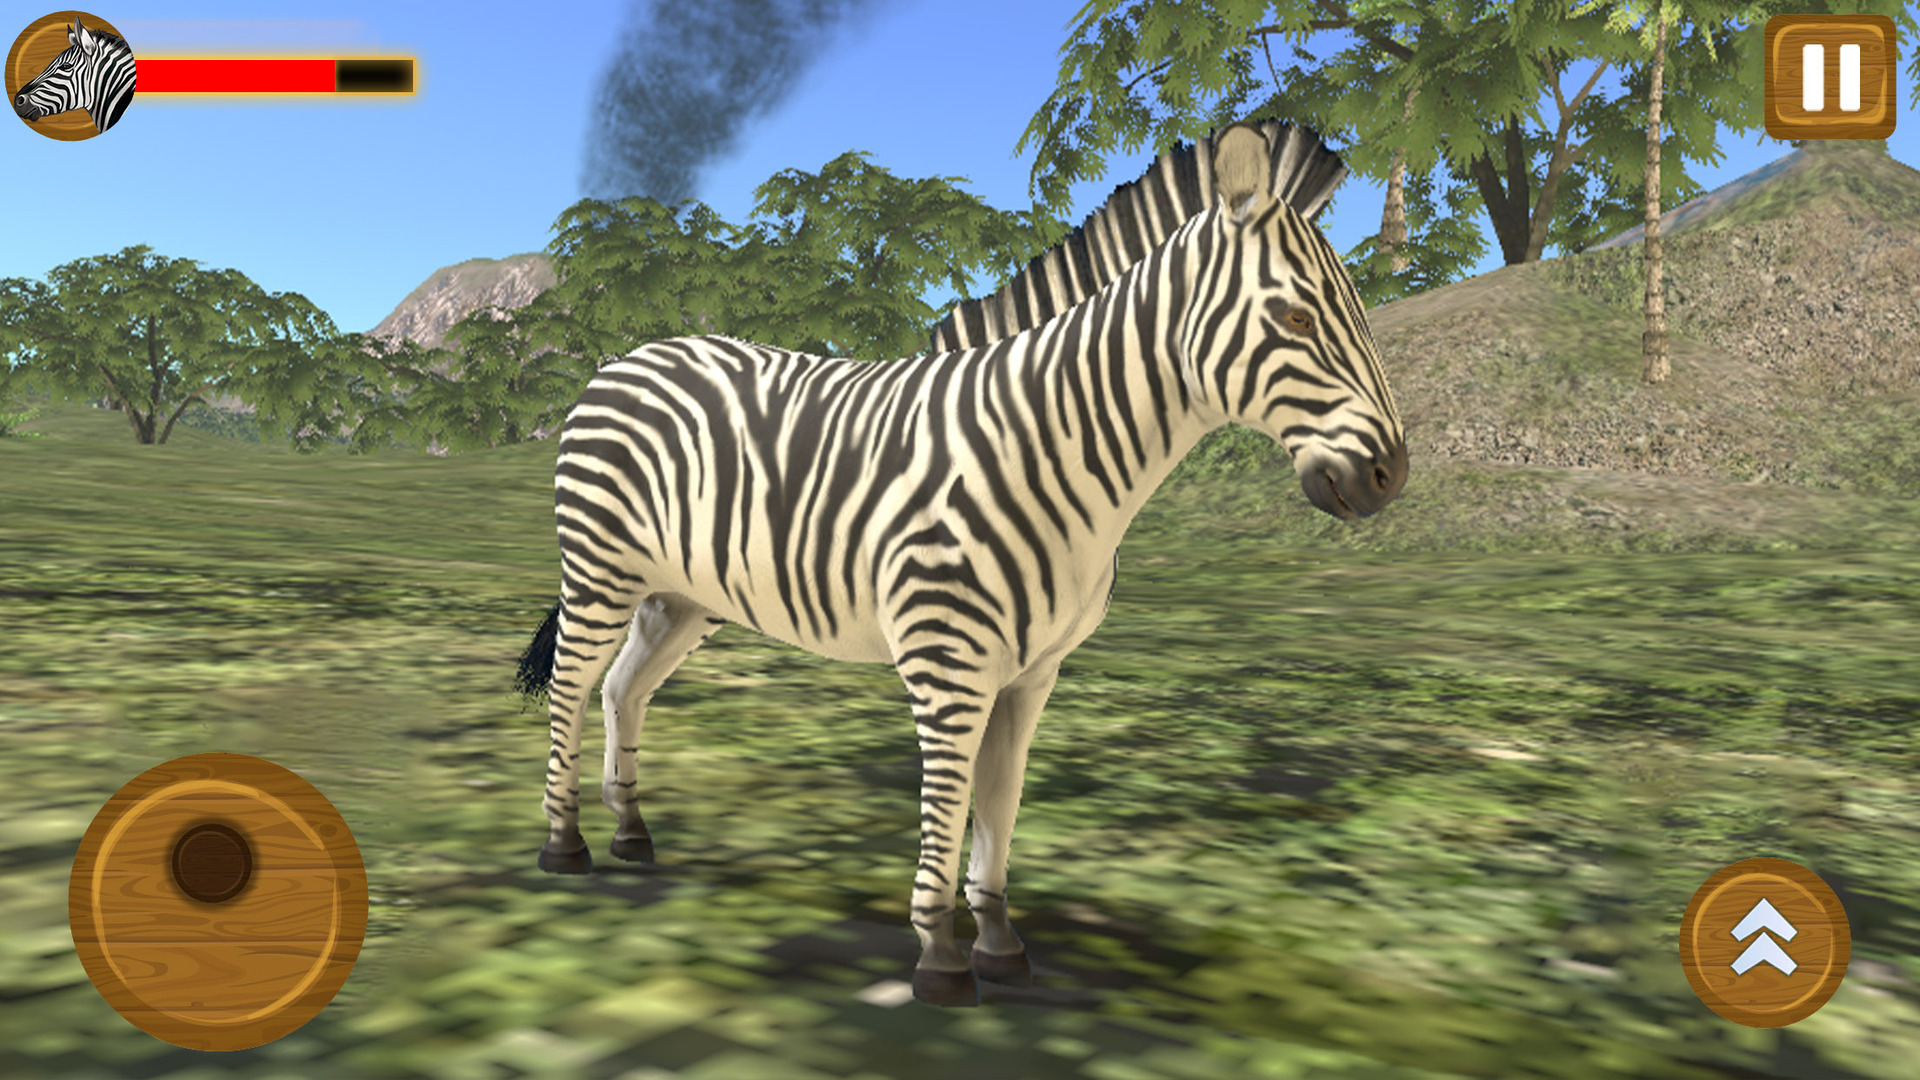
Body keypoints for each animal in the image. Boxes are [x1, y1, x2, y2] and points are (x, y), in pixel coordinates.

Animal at [514, 121, 1408, 1007]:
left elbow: (1001, 803)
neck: (1050, 455)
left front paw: (1002, 943)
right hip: (599, 573)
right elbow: (948, 802)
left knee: (623, 689)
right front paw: (940, 956)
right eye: (1294, 318)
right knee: (571, 687)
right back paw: (564, 844)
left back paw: (632, 833)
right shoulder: (948, 665)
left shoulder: (1032, 673)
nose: (1389, 476)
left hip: (680, 597)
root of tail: (628, 358)